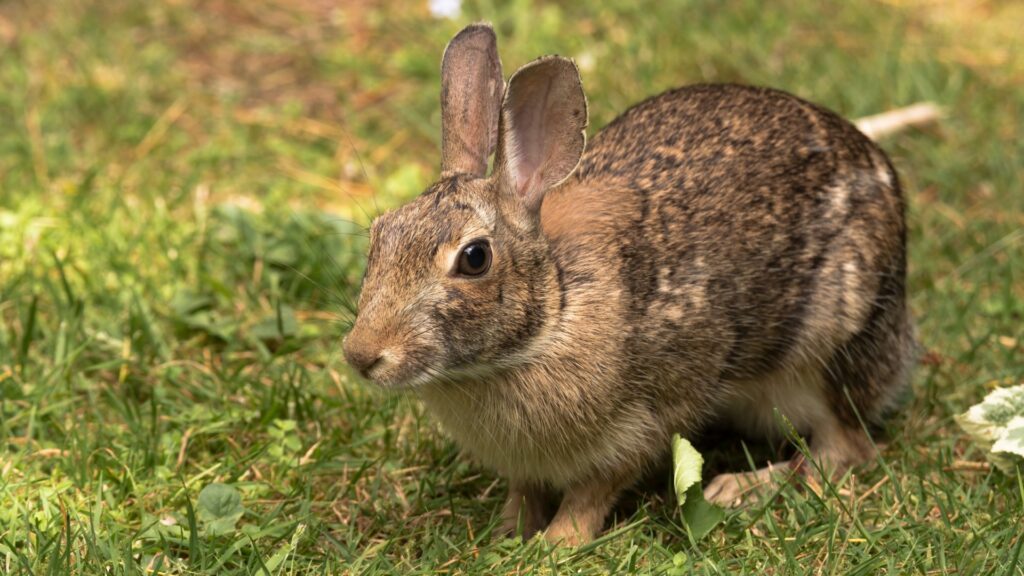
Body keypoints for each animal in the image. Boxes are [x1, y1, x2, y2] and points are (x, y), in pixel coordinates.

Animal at [342, 23, 915, 546]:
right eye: (380, 233)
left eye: (474, 258)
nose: (361, 355)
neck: (552, 313)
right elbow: (525, 489)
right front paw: (508, 533)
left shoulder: (648, 420)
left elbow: (595, 489)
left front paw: (556, 546)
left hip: (831, 342)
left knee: (843, 448)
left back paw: (741, 487)